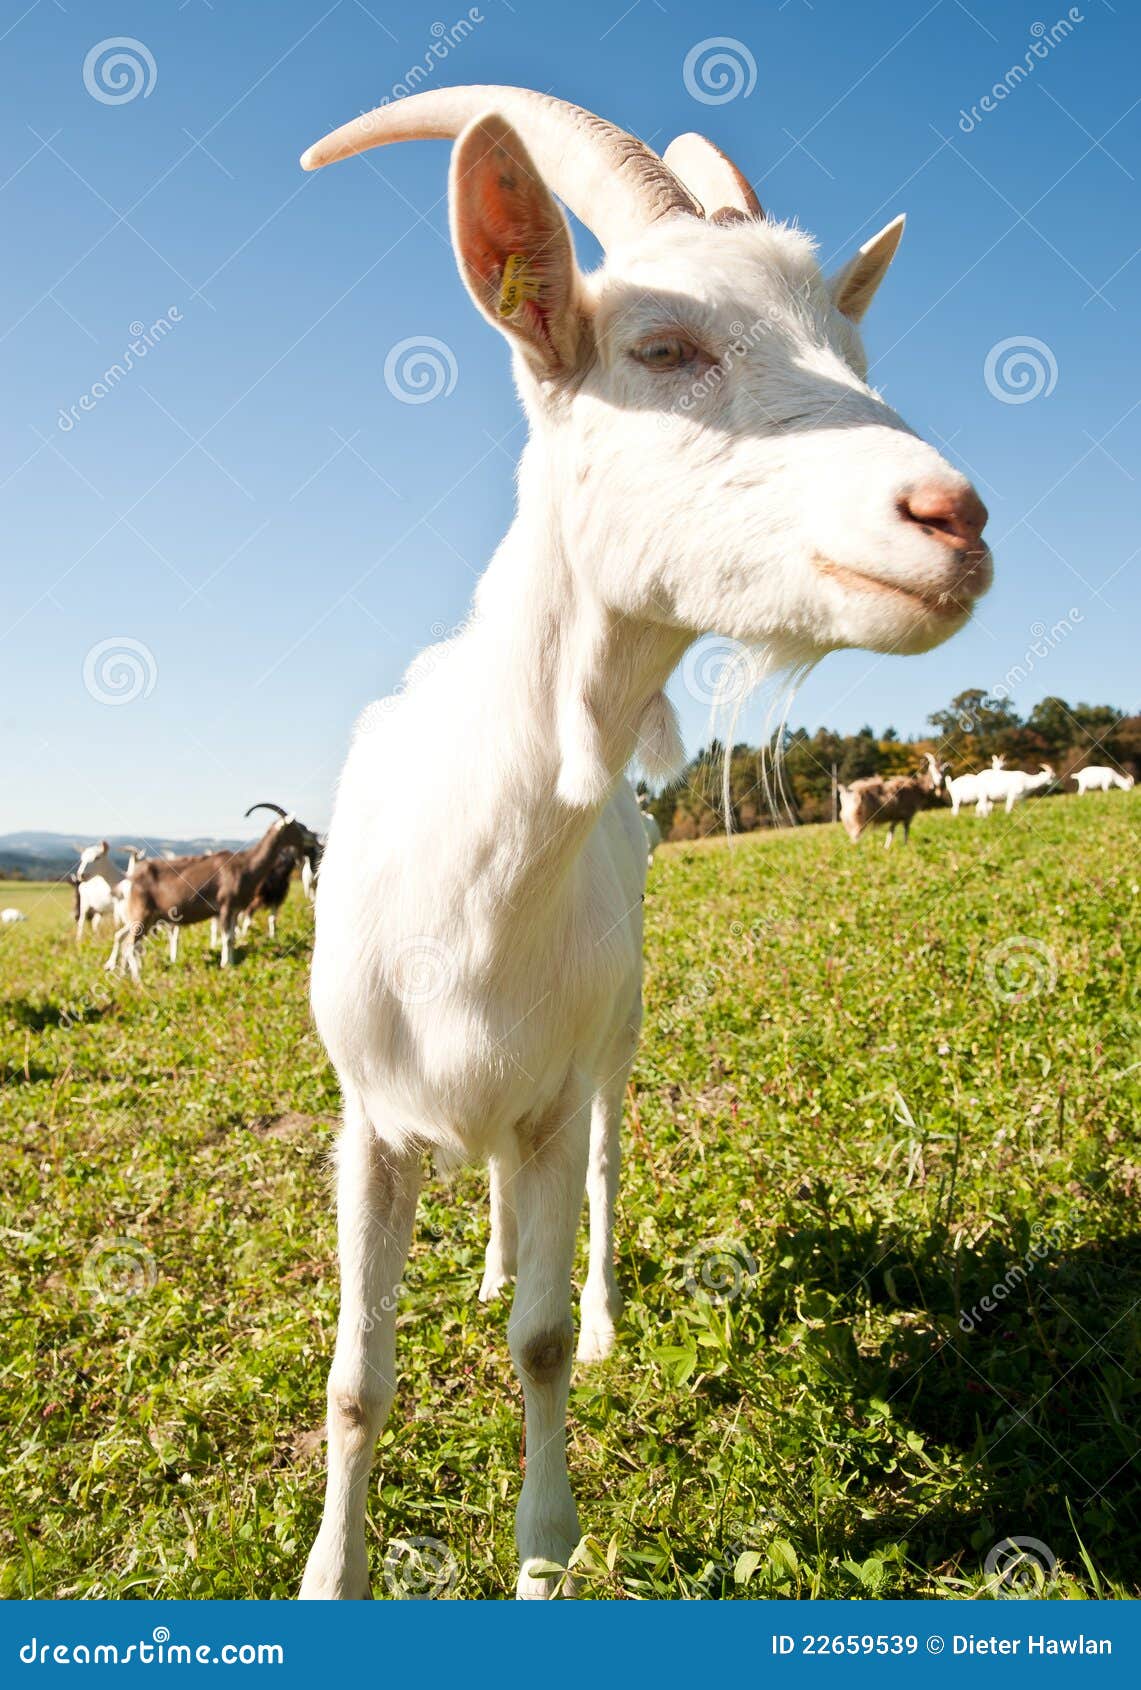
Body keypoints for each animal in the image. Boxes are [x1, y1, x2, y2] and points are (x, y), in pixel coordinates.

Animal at [118, 805, 317, 978]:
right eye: (298, 826)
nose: (315, 836)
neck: (245, 865)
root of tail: (130, 879)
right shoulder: (225, 906)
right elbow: (227, 937)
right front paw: (225, 964)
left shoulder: (236, 910)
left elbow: (232, 937)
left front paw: (231, 962)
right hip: (141, 915)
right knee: (129, 945)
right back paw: (137, 979)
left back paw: (126, 974)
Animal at [294, 86, 992, 1601]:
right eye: (661, 348)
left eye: (852, 351)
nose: (954, 520)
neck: (473, 877)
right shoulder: (367, 1117)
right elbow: (356, 1381)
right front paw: (330, 1574)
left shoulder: (559, 1090)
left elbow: (542, 1343)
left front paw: (545, 1553)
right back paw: (490, 1258)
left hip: (615, 1036)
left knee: (604, 1175)